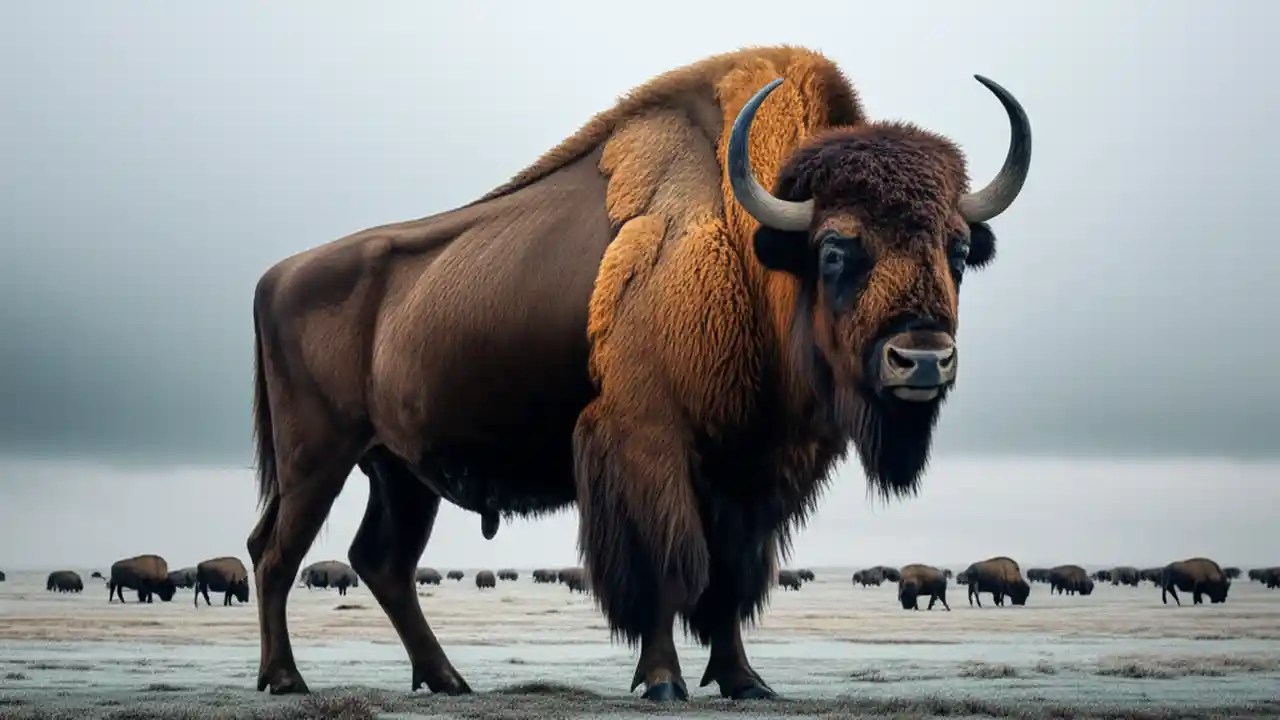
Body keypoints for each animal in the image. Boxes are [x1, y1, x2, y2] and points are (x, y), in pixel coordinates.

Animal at [245, 45, 1031, 700]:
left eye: (958, 251)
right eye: (835, 249)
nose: (922, 359)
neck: (752, 252)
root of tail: (276, 276)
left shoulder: (751, 473)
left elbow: (729, 582)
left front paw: (747, 682)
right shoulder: (648, 446)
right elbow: (671, 567)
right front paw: (662, 681)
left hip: (400, 471)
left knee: (382, 561)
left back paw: (447, 680)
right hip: (316, 459)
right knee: (277, 552)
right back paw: (286, 679)